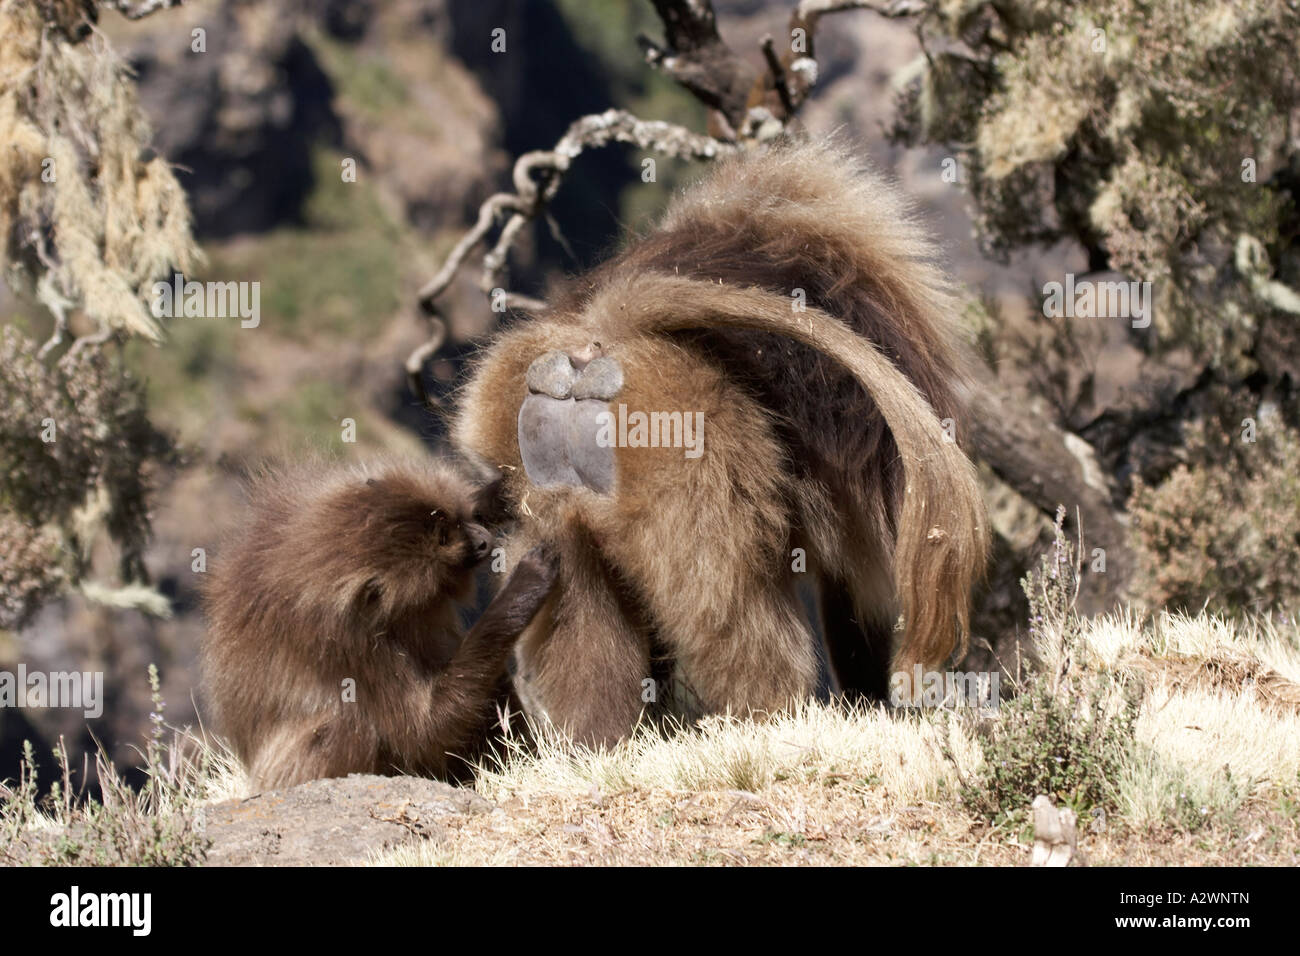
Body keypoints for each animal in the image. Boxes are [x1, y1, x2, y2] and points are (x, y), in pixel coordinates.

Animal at [200, 459, 557, 792]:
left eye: (454, 522)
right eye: (446, 542)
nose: (484, 541)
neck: (310, 560)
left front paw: (500, 491)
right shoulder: (349, 643)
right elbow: (423, 729)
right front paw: (524, 586)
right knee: (346, 725)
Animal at [451, 139, 989, 746]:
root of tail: (599, 340)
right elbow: (853, 593)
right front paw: (870, 703)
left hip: (551, 490)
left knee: (580, 593)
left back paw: (600, 742)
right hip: (691, 454)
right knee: (734, 613)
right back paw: (771, 723)